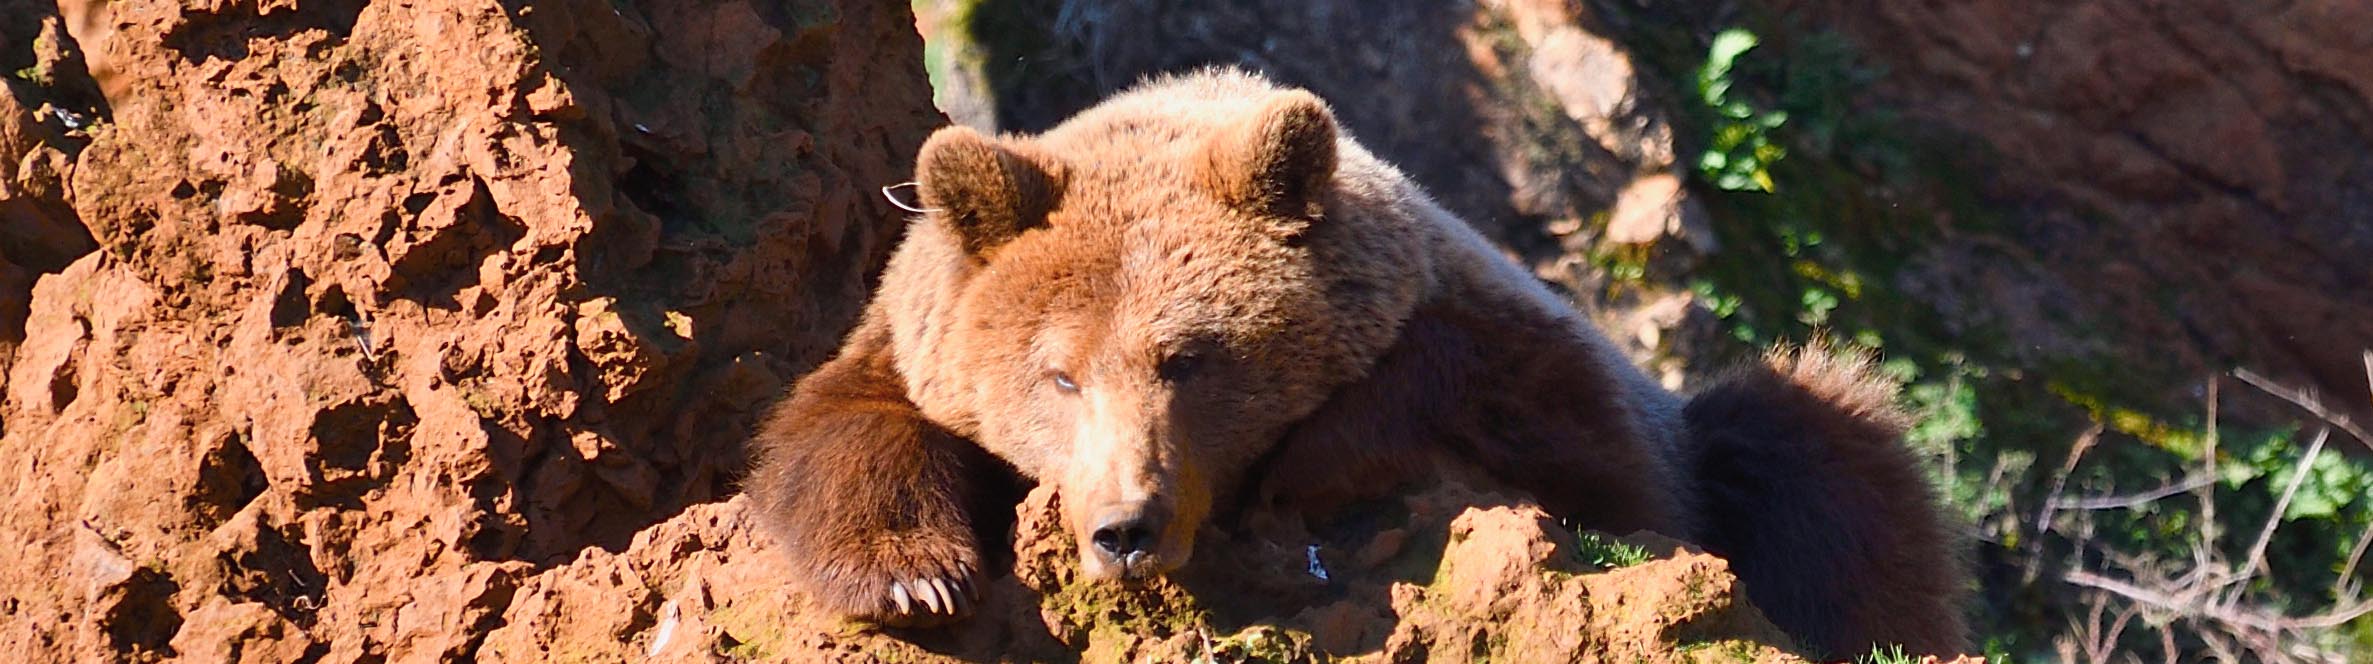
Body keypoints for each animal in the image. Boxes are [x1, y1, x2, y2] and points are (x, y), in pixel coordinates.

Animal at [744, 68, 1967, 657]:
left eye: (1189, 358)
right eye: (1059, 374)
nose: (1126, 527)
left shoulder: (1512, 358)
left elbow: (1520, 430)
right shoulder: (910, 344)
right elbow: (838, 429)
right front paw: (914, 574)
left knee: (1827, 460)